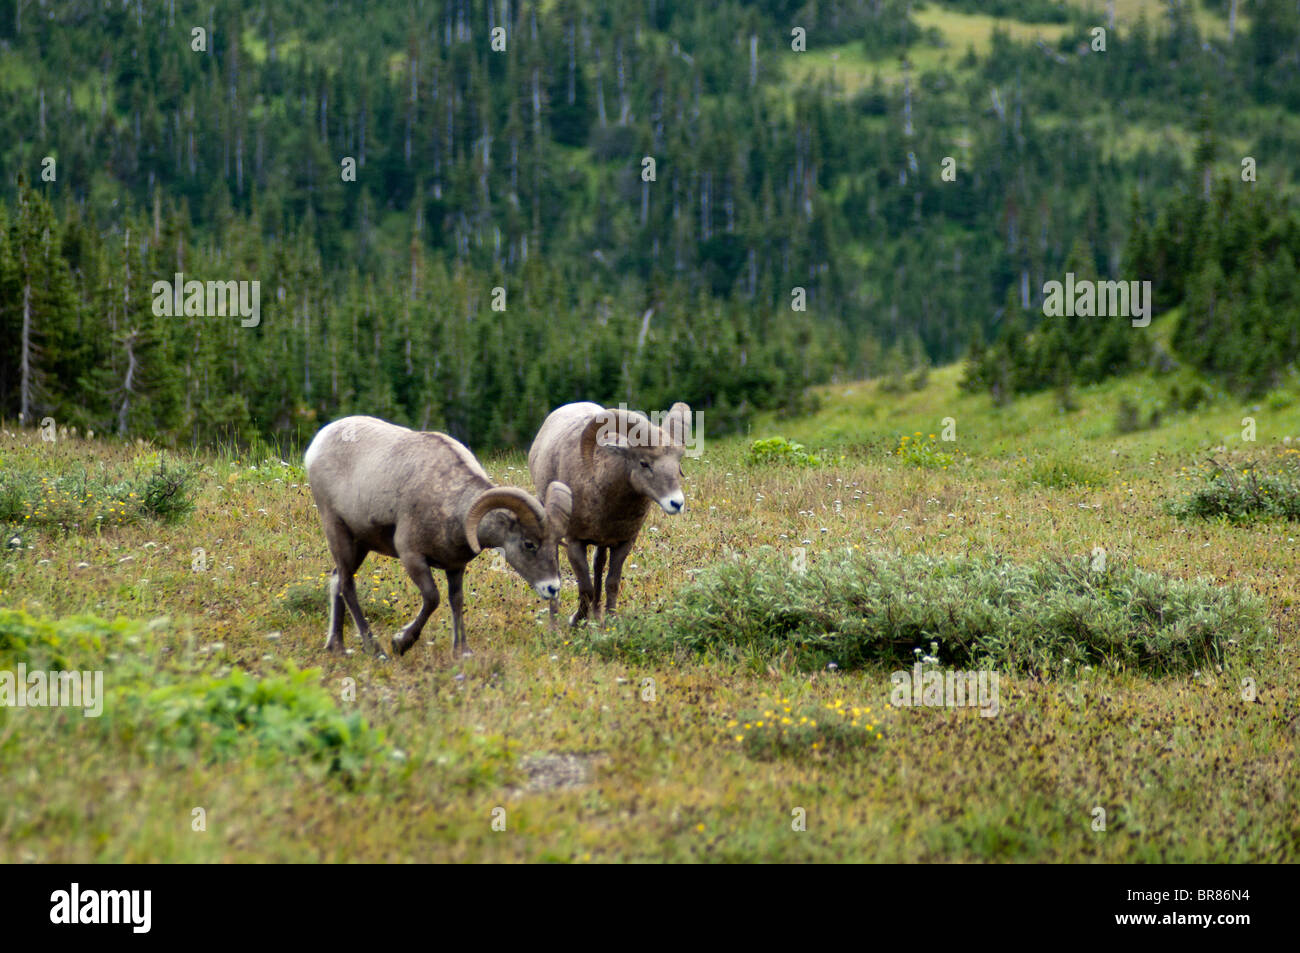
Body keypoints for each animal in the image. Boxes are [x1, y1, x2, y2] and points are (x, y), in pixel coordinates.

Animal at [304, 415, 571, 657]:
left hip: (360, 544)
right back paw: (374, 649)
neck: (450, 502)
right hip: (337, 531)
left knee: (337, 580)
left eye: (556, 544)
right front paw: (401, 643)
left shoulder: (455, 566)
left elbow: (456, 601)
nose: (552, 588)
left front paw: (462, 652)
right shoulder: (412, 556)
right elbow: (433, 598)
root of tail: (318, 443)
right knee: (347, 584)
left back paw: (337, 647)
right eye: (529, 544)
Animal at [528, 401, 692, 626]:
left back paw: (597, 614)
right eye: (644, 463)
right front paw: (576, 622)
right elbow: (585, 588)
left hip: (603, 544)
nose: (676, 503)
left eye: (678, 461)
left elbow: (611, 582)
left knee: (598, 567)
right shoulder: (575, 543)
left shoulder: (623, 543)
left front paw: (611, 621)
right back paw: (555, 622)